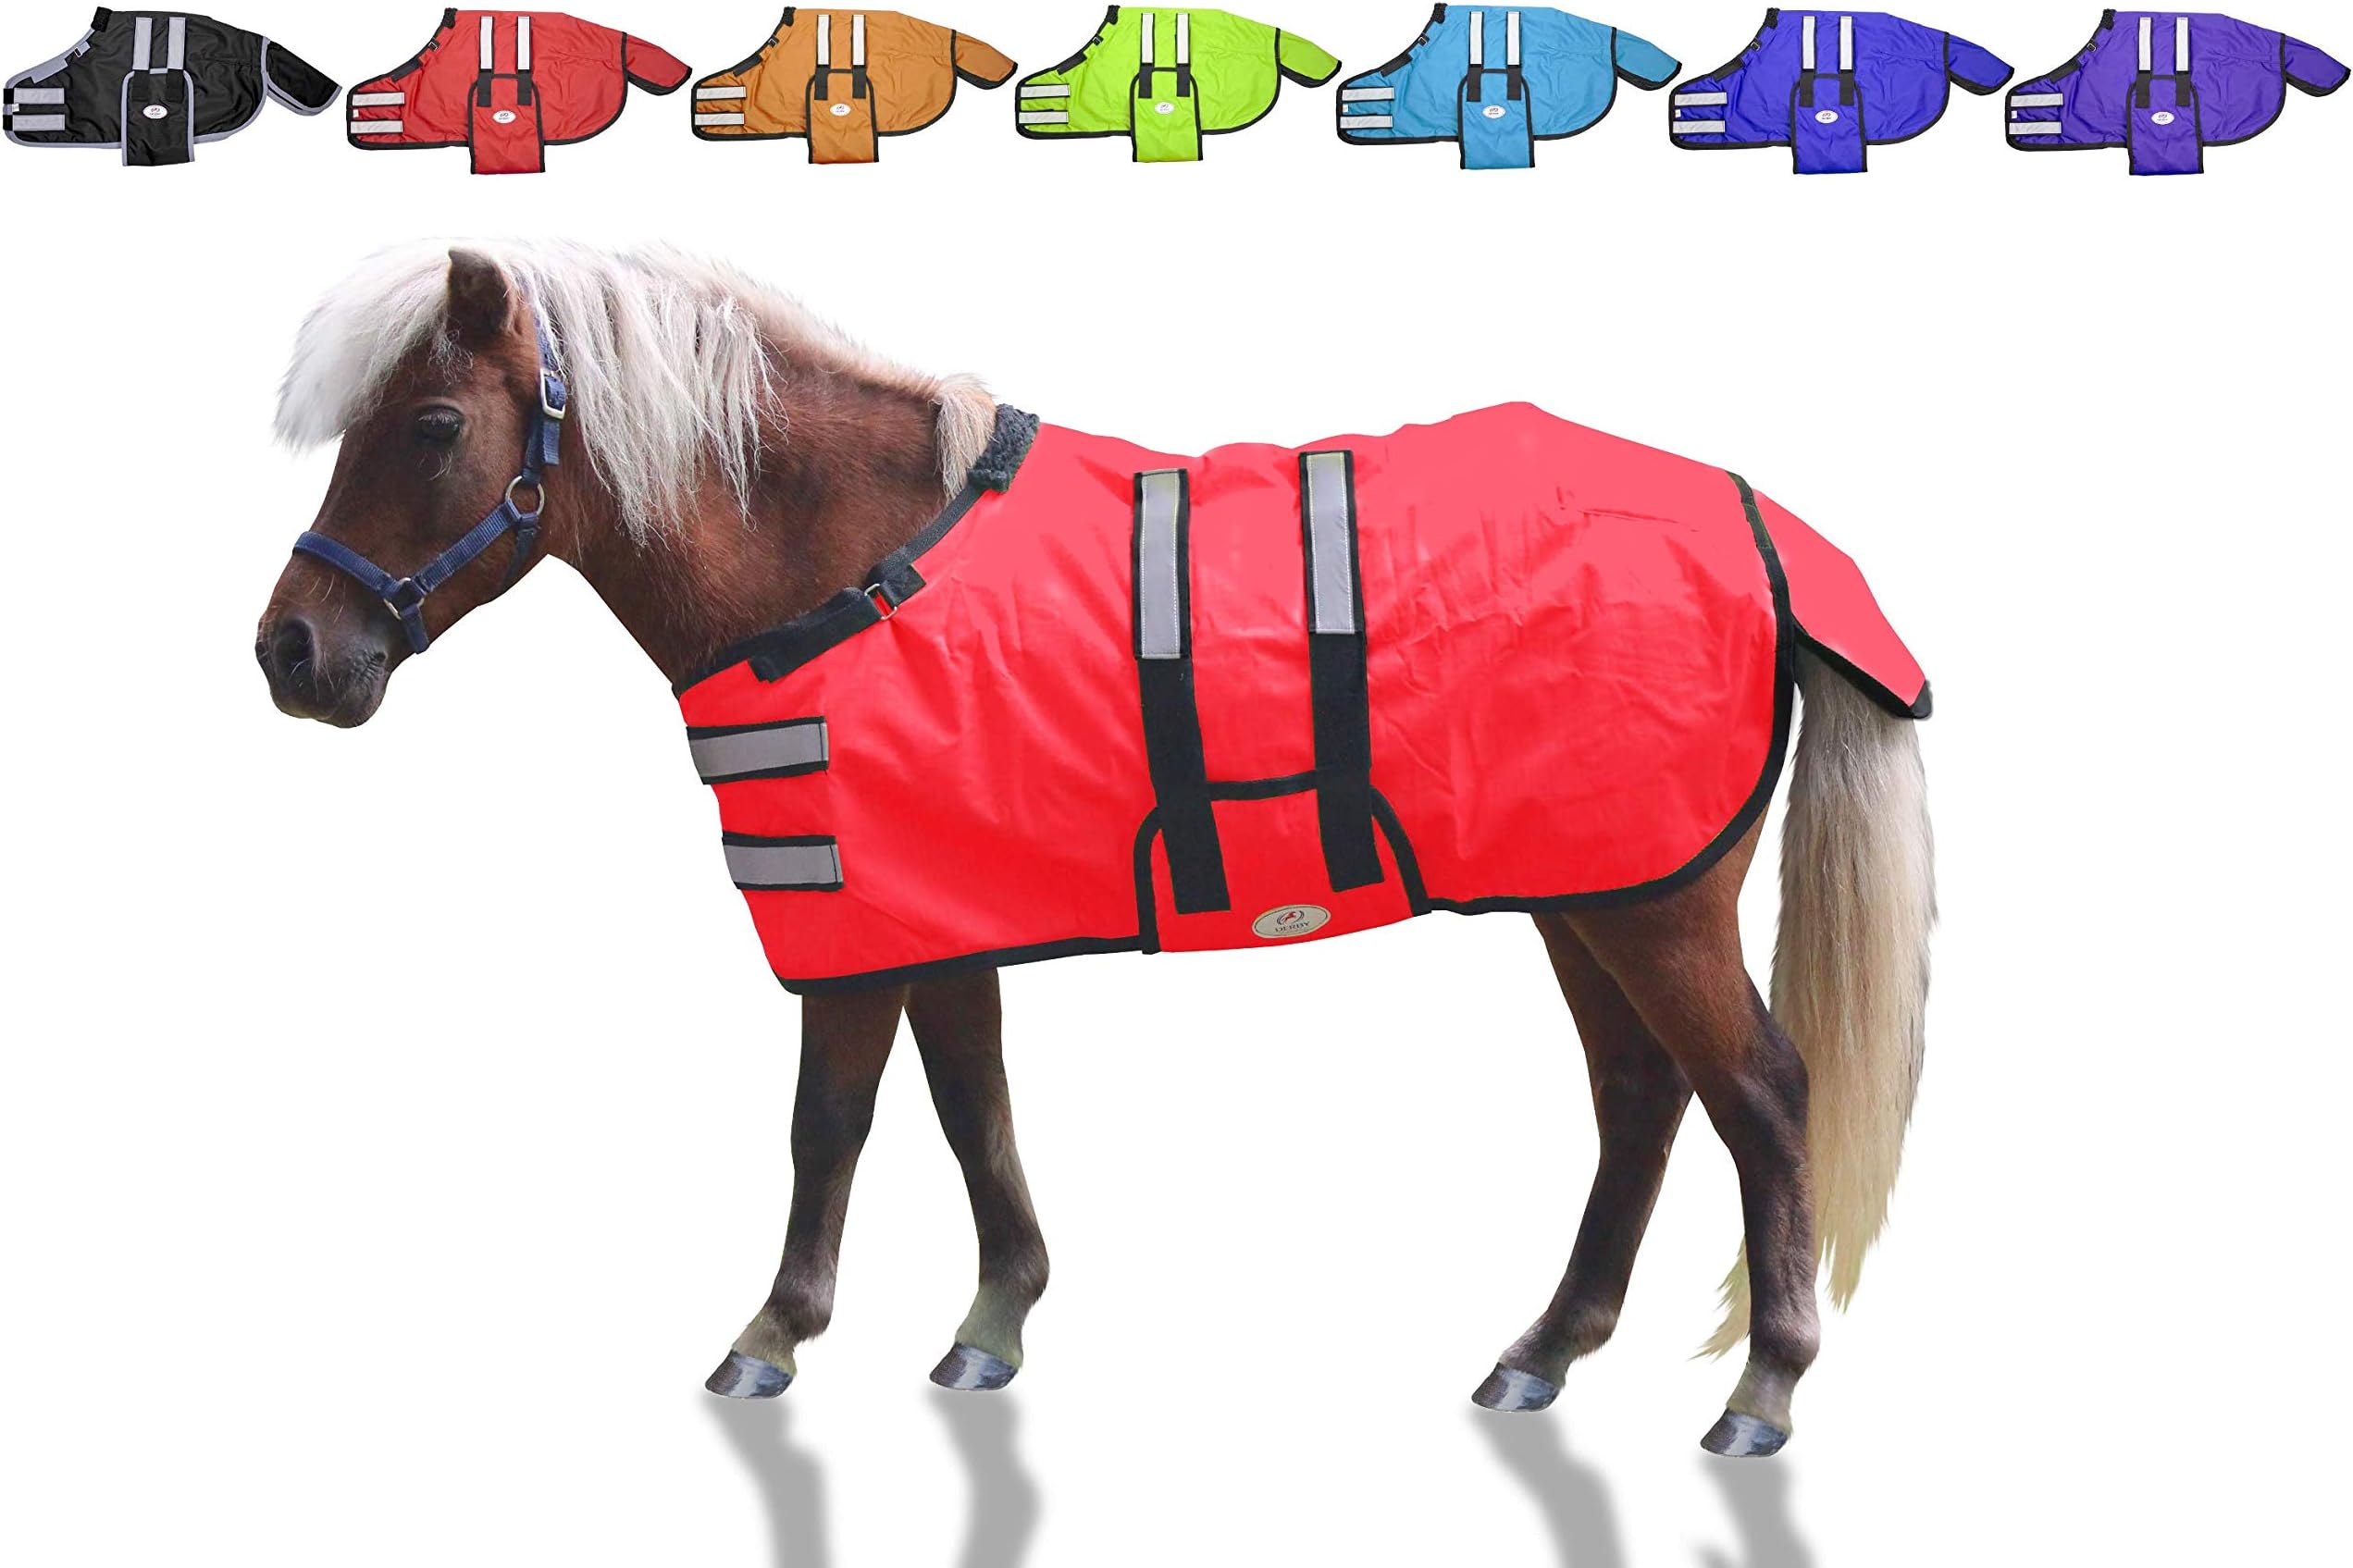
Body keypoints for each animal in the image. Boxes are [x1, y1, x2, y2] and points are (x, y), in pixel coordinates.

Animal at [254, 241, 1934, 1458]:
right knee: (1641, 1095)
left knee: (1759, 1097)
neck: (844, 564)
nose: (291, 652)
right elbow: (971, 1111)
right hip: (1580, 893)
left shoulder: (856, 933)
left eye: (432, 425)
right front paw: (993, 1319)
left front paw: (772, 1333)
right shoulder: (940, 920)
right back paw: (1544, 1351)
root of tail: (1753, 522)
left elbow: (827, 1128)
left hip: (1653, 904)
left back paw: (1762, 1389)